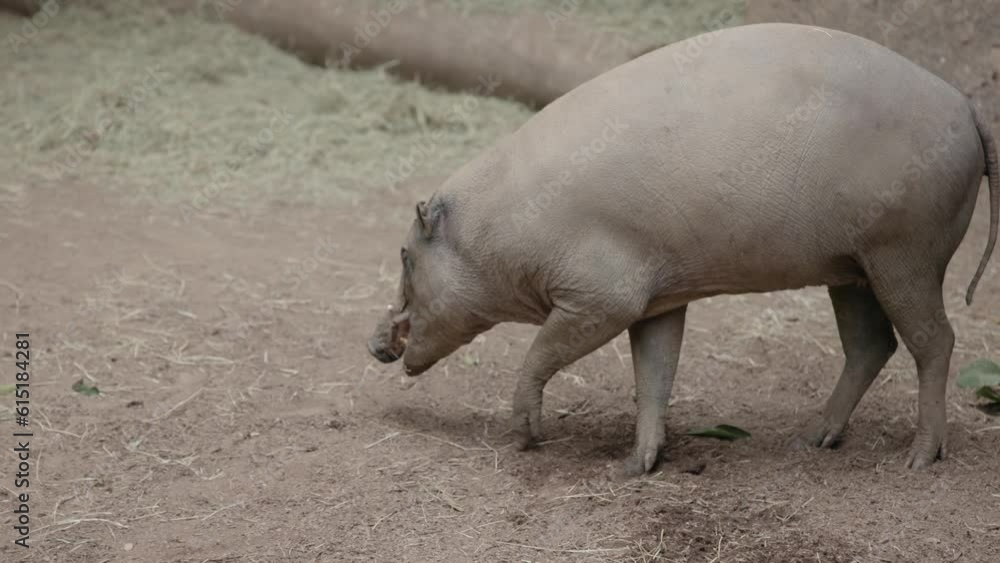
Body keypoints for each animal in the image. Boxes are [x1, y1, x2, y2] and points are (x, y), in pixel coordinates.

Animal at [368, 23, 998, 476]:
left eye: (405, 257)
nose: (374, 343)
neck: (497, 231)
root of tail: (967, 105)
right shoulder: (657, 303)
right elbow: (654, 377)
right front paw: (633, 467)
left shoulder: (600, 300)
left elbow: (539, 357)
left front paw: (526, 438)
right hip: (851, 268)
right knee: (871, 345)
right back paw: (811, 440)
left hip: (905, 257)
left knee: (934, 342)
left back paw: (920, 458)